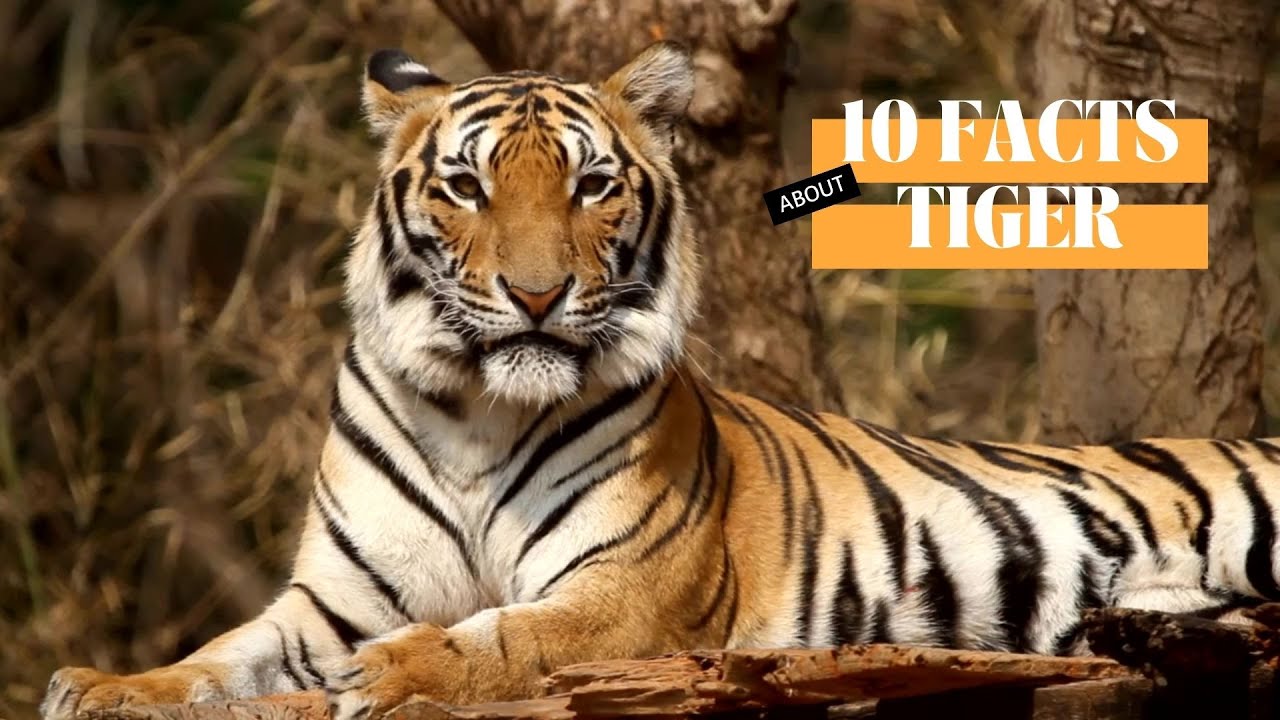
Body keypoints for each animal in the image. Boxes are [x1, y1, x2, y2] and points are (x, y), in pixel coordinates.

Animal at [42, 40, 1280, 720]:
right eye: (466, 187)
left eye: (591, 186)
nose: (536, 294)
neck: (476, 410)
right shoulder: (331, 598)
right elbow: (221, 655)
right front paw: (104, 686)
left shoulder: (630, 589)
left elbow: (507, 637)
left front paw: (393, 674)